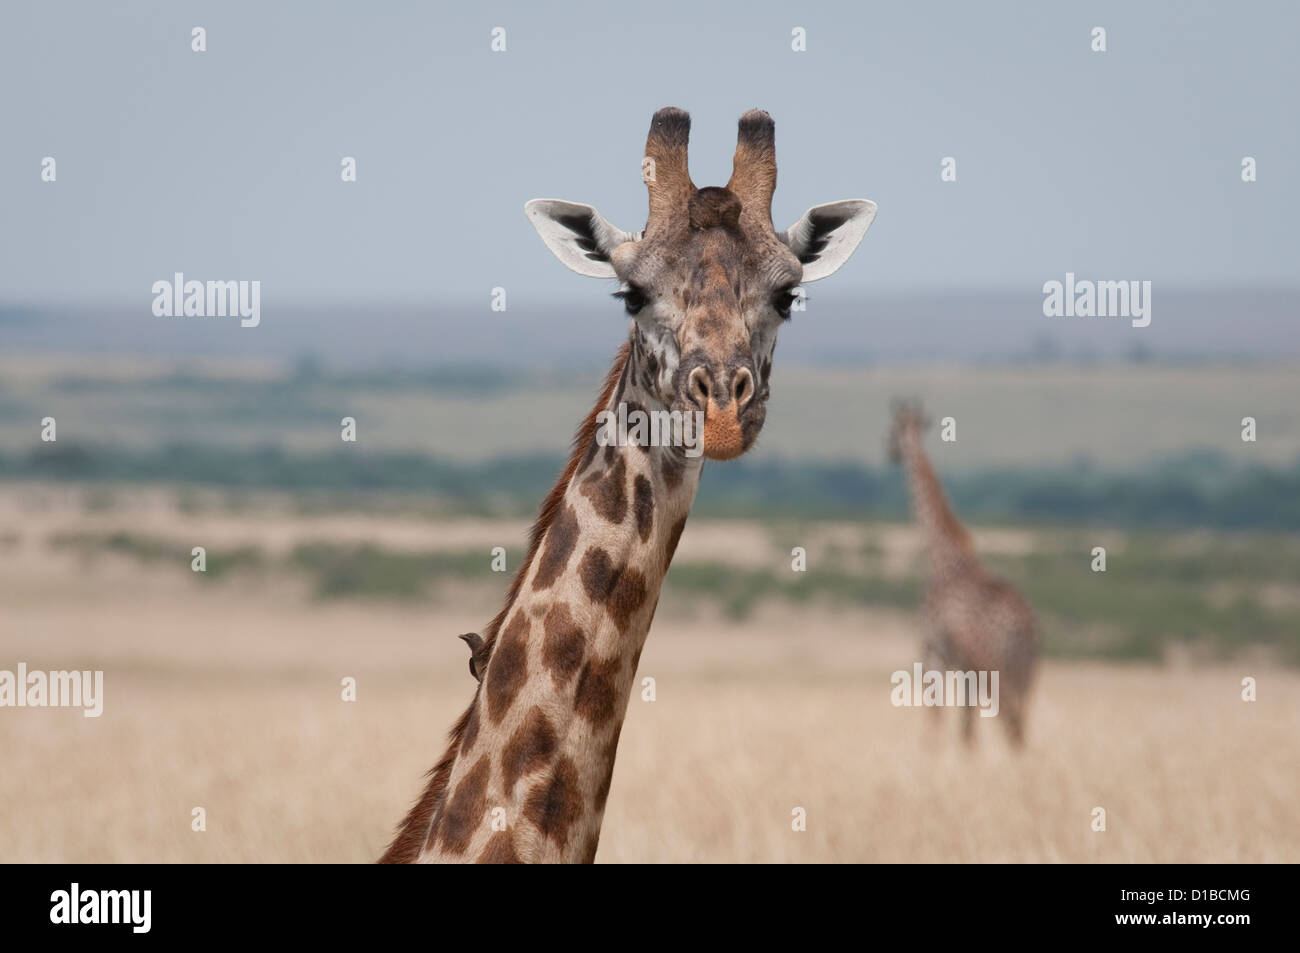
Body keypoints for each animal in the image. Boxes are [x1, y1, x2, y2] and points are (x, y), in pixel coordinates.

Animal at [886, 400, 1038, 747]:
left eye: (892, 430)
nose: (889, 452)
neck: (941, 555)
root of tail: (1023, 624)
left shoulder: (933, 648)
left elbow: (937, 712)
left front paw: (932, 753)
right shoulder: (963, 663)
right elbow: (966, 726)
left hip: (993, 665)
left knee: (1009, 720)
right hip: (1024, 671)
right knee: (1018, 724)